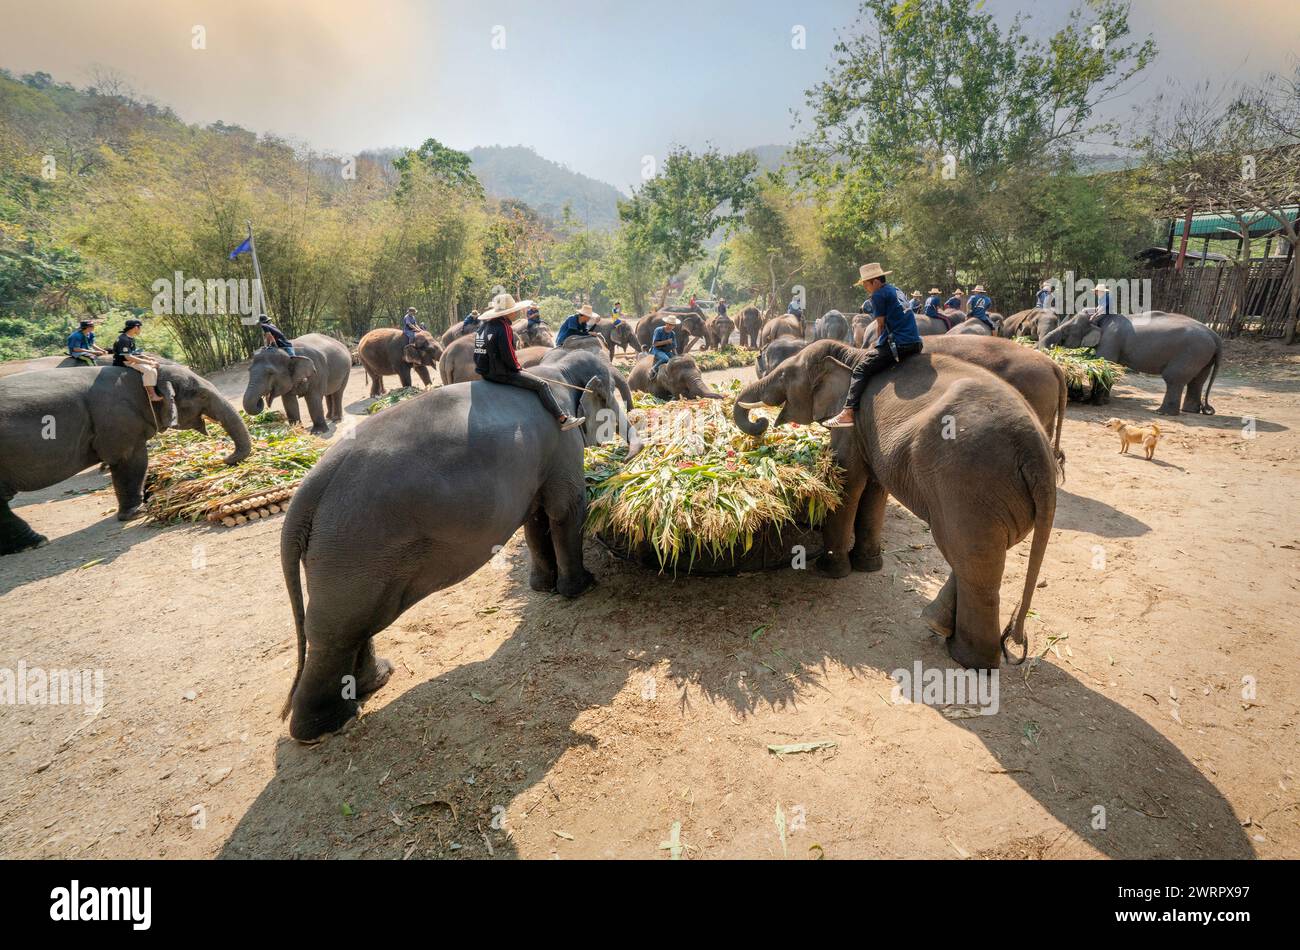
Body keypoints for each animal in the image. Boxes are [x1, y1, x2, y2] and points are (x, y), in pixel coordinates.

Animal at [0, 364, 252, 555]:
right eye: (202, 394)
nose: (226, 459)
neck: (144, 373)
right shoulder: (119, 421)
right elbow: (132, 461)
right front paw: (137, 513)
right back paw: (37, 541)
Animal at [277, 346, 642, 741]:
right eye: (616, 392)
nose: (630, 454)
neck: (555, 369)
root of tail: (308, 490)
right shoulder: (563, 438)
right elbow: (566, 508)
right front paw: (582, 588)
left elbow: (535, 517)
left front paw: (544, 588)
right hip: (353, 548)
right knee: (337, 631)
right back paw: (326, 726)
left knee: (355, 623)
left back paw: (376, 681)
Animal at [732, 340, 1056, 669]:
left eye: (784, 375)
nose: (761, 424)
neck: (852, 353)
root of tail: (1038, 456)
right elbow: (874, 490)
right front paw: (868, 566)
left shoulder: (850, 419)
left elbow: (848, 482)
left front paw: (829, 570)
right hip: (1001, 500)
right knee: (976, 557)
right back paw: (939, 626)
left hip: (970, 488)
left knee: (971, 563)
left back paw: (966, 658)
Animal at [1039, 310, 1222, 415]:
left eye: (1066, 330)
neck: (1099, 318)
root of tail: (1215, 335)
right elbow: (1110, 368)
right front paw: (1104, 401)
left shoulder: (1110, 339)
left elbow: (1104, 363)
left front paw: (1094, 403)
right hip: (1203, 356)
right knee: (1196, 382)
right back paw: (1189, 411)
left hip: (1191, 353)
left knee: (1174, 379)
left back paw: (1162, 413)